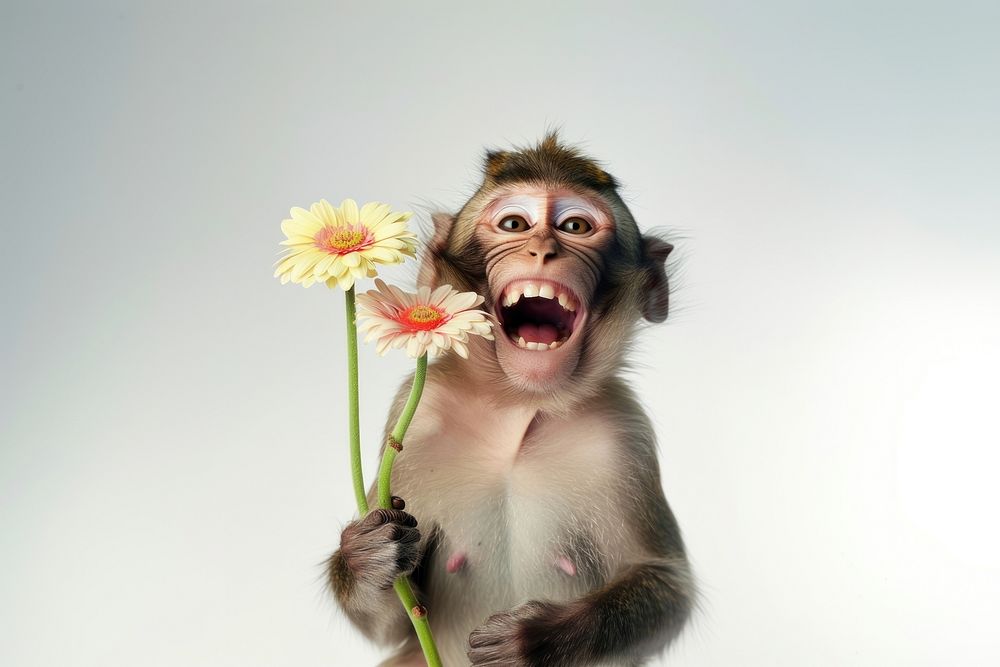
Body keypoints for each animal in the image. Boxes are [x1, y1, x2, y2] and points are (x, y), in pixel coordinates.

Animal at [327, 132, 693, 666]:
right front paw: (366, 556)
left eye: (576, 226)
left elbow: (667, 581)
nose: (543, 250)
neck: (517, 407)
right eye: (514, 224)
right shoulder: (417, 416)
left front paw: (537, 637)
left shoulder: (624, 433)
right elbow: (398, 621)